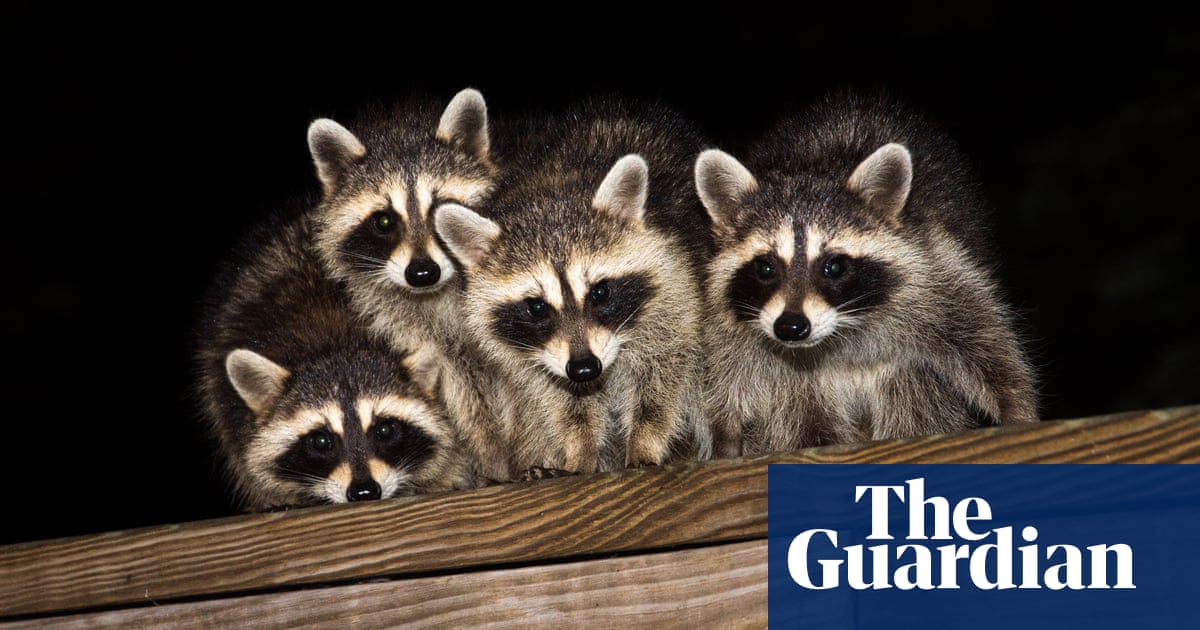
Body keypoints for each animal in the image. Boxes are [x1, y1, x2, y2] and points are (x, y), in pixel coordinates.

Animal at [305, 88, 511, 480]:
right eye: (384, 221)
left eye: (442, 209)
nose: (422, 273)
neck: (435, 294)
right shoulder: (419, 328)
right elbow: (464, 388)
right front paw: (495, 458)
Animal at [435, 96, 713, 477]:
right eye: (537, 307)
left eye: (600, 292)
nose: (585, 368)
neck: (552, 191)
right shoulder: (533, 358)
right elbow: (564, 401)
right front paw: (580, 453)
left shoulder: (674, 284)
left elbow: (662, 373)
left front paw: (645, 441)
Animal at [694, 90, 1039, 457]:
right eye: (766, 267)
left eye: (834, 266)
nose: (791, 327)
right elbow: (731, 366)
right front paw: (726, 431)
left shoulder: (933, 265)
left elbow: (980, 333)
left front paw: (1015, 406)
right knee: (801, 403)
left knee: (909, 395)